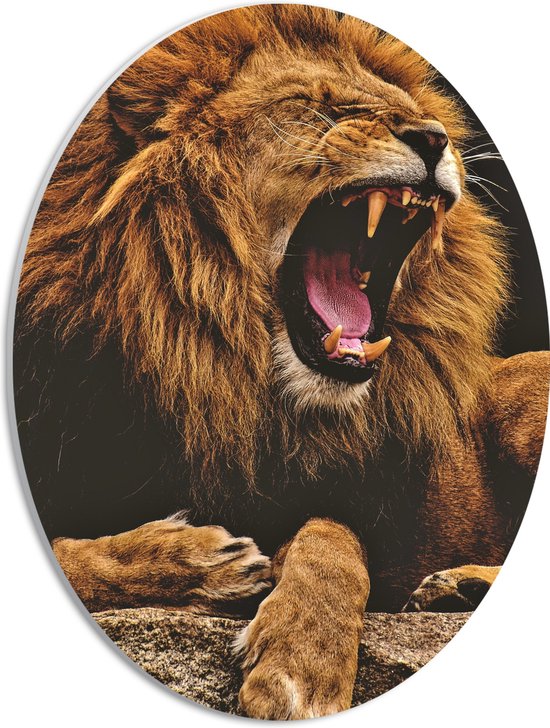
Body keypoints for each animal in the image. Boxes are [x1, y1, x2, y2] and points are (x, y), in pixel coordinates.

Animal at [13, 4, 549, 720]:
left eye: (415, 112)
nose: (436, 138)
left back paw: (460, 583)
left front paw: (300, 665)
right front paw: (196, 561)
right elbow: (73, 556)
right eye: (318, 107)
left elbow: (331, 538)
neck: (217, 372)